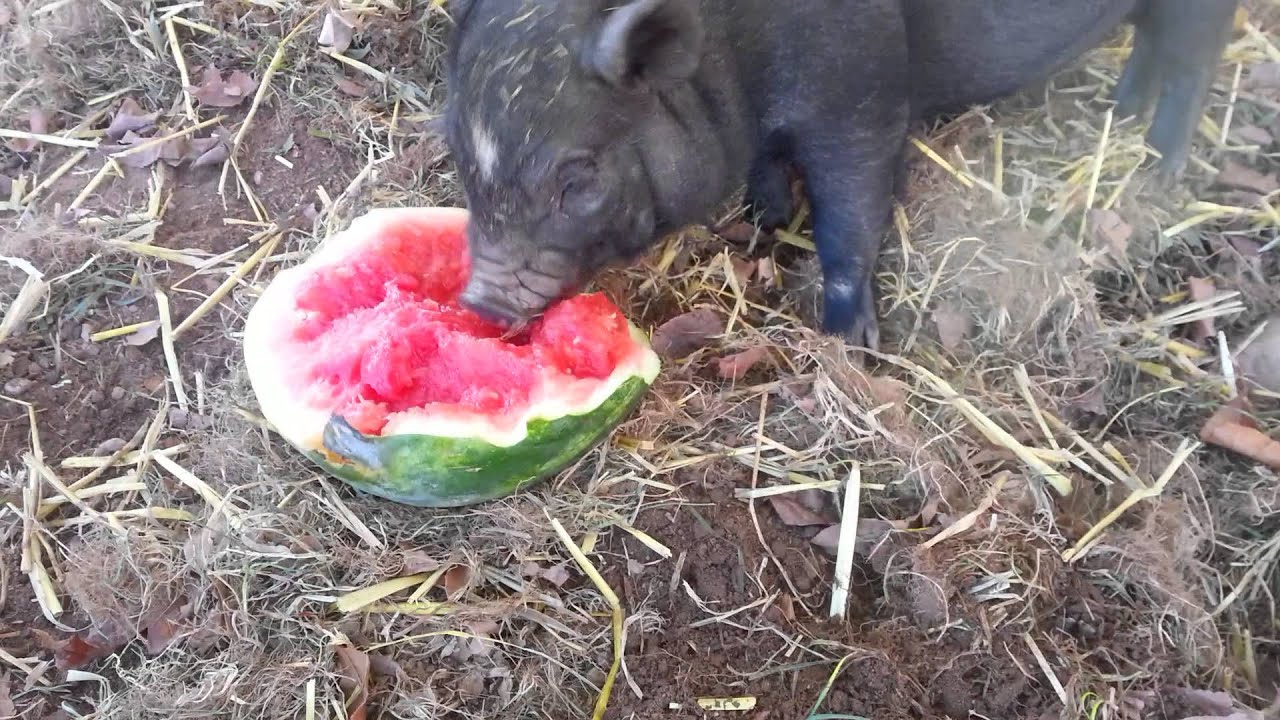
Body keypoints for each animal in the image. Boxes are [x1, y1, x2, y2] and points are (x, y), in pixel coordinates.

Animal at [440, 0, 1238, 349]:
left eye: (576, 177)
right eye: (457, 149)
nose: (478, 303)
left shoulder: (861, 87)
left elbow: (852, 201)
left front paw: (850, 341)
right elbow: (768, 165)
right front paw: (763, 223)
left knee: (1194, 59)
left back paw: (1160, 170)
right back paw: (1123, 114)